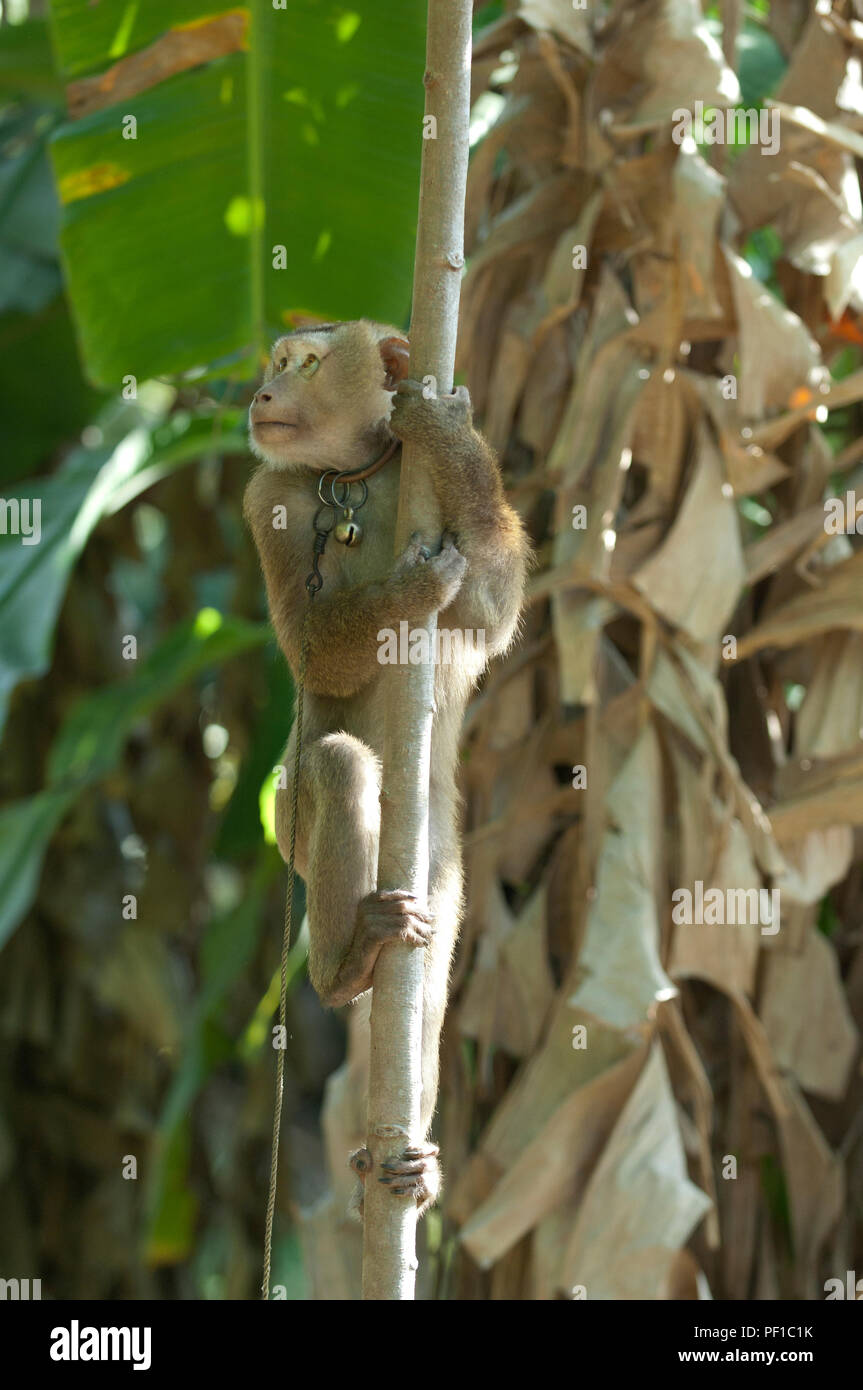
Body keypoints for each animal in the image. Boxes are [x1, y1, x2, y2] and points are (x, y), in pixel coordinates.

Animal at [243, 318, 528, 1213]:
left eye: (304, 363)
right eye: (276, 363)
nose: (260, 393)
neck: (355, 480)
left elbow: (490, 610)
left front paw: (444, 427)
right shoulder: (265, 497)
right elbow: (312, 653)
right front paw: (405, 596)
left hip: (441, 867)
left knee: (429, 975)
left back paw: (407, 1164)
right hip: (286, 823)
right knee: (336, 767)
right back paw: (345, 967)